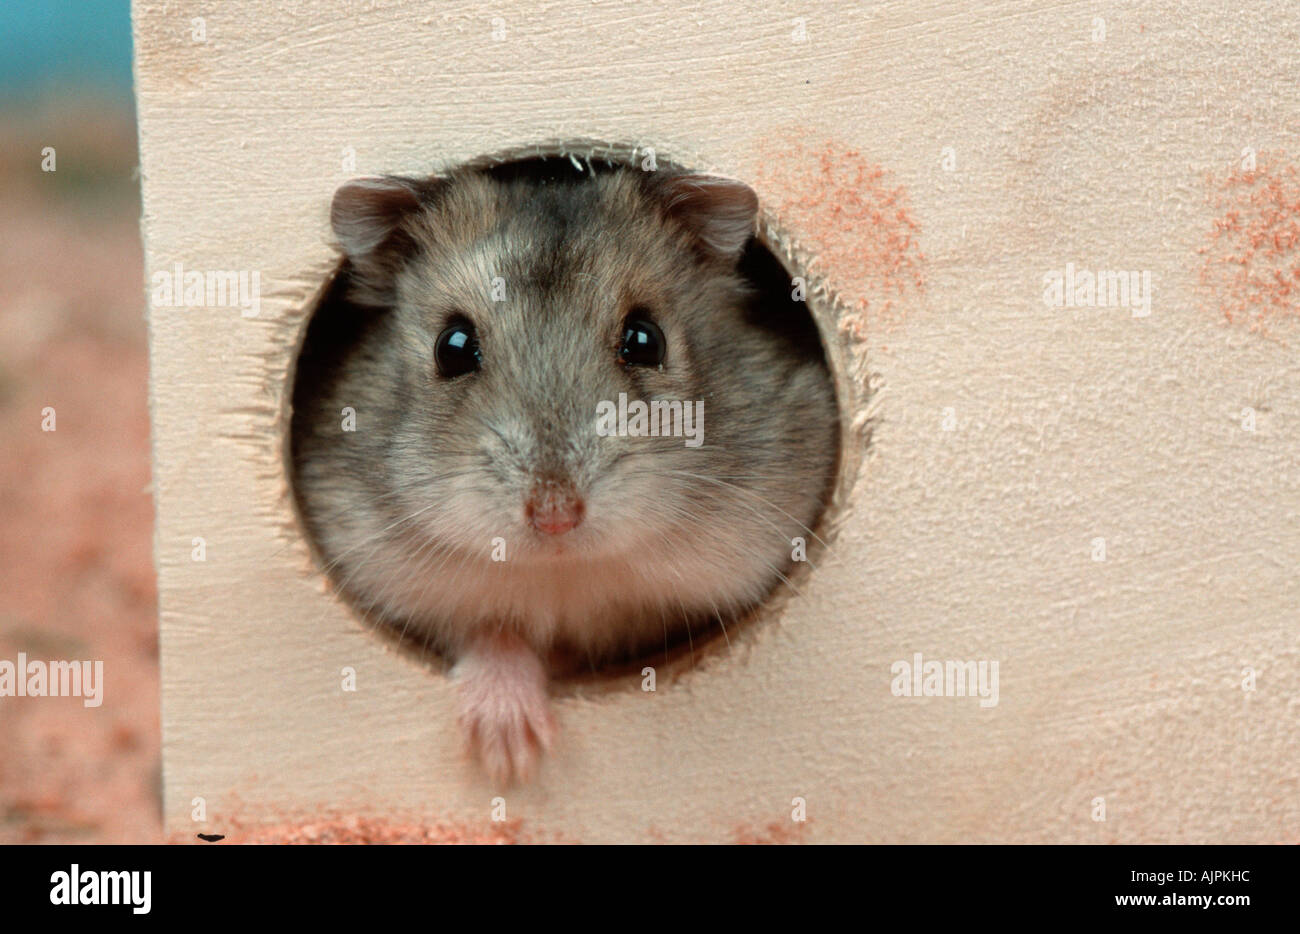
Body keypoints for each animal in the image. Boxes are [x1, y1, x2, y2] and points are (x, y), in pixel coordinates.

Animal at [291, 157, 839, 784]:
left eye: (646, 339)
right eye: (451, 346)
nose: (555, 516)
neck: (562, 572)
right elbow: (488, 630)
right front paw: (507, 754)